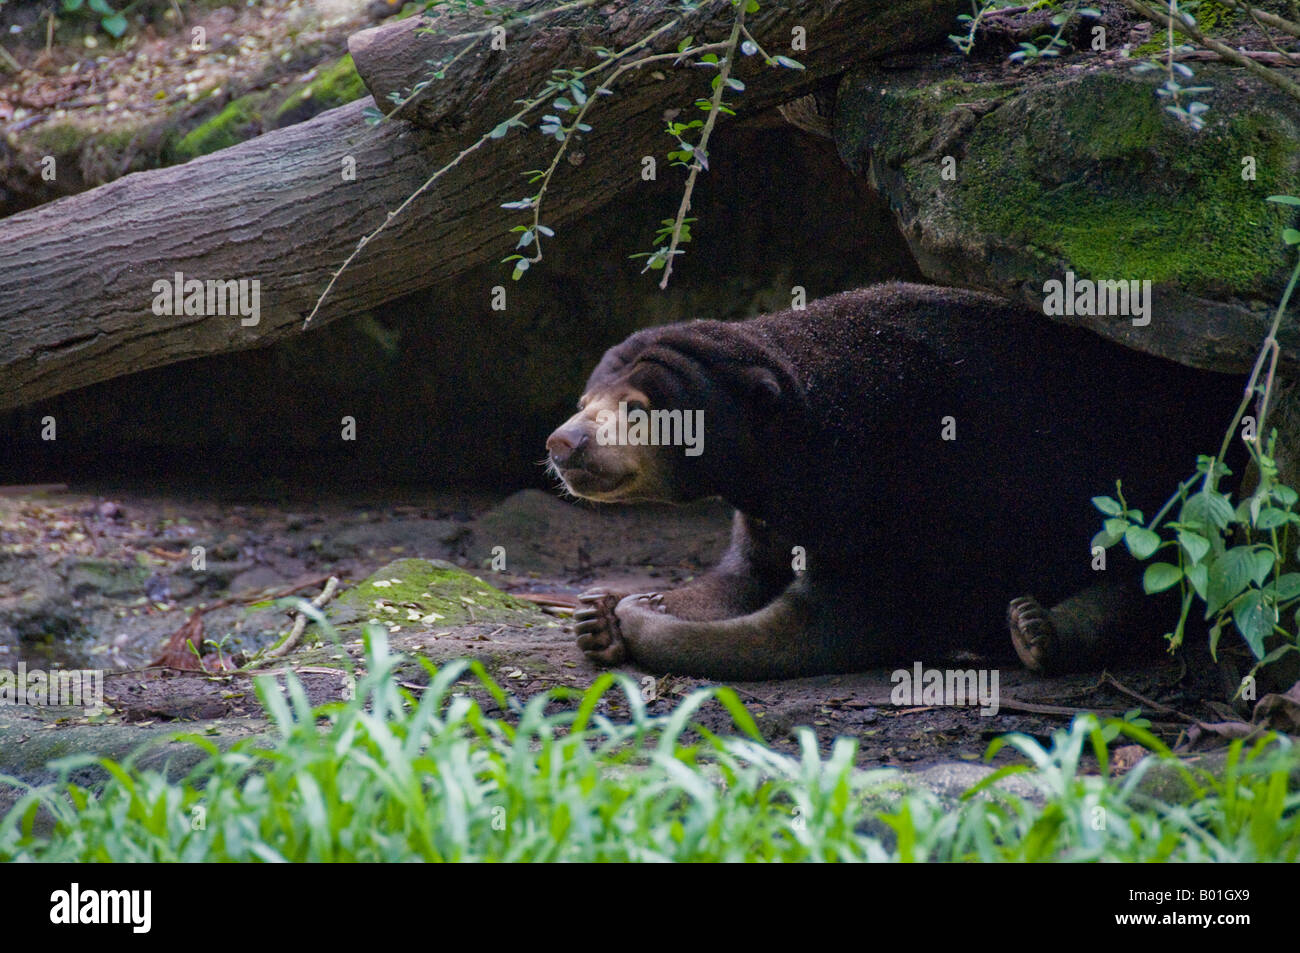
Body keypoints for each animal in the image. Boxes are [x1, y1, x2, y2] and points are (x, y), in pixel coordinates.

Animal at [545, 282, 1242, 680]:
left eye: (638, 410)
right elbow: (742, 577)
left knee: (1150, 591)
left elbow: (830, 622)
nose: (562, 443)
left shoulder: (894, 489)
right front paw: (602, 615)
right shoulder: (774, 507)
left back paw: (1038, 630)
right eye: (583, 400)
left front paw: (637, 618)